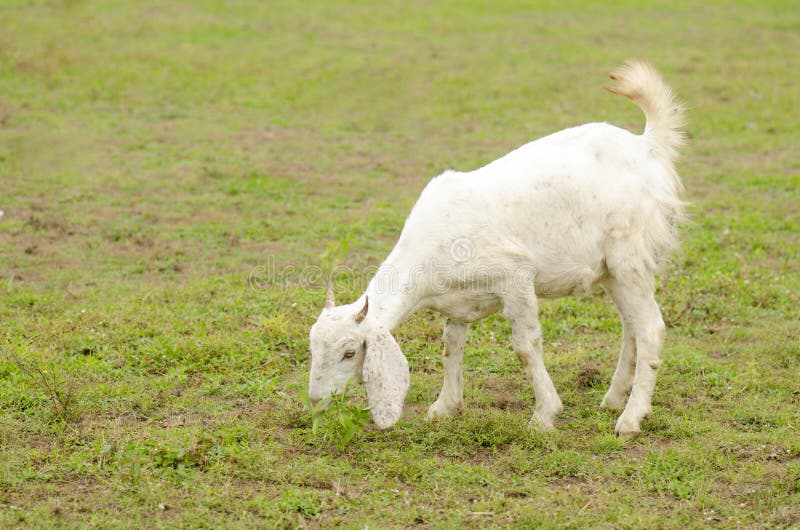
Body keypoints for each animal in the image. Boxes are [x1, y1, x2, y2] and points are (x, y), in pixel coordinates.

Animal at [308, 60, 686, 438]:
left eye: (349, 352)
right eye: (313, 347)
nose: (314, 399)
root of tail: (647, 146)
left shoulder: (515, 279)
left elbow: (525, 348)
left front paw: (544, 415)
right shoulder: (457, 302)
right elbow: (451, 346)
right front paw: (444, 406)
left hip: (630, 256)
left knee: (651, 328)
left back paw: (631, 418)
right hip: (610, 270)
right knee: (630, 325)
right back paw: (613, 398)